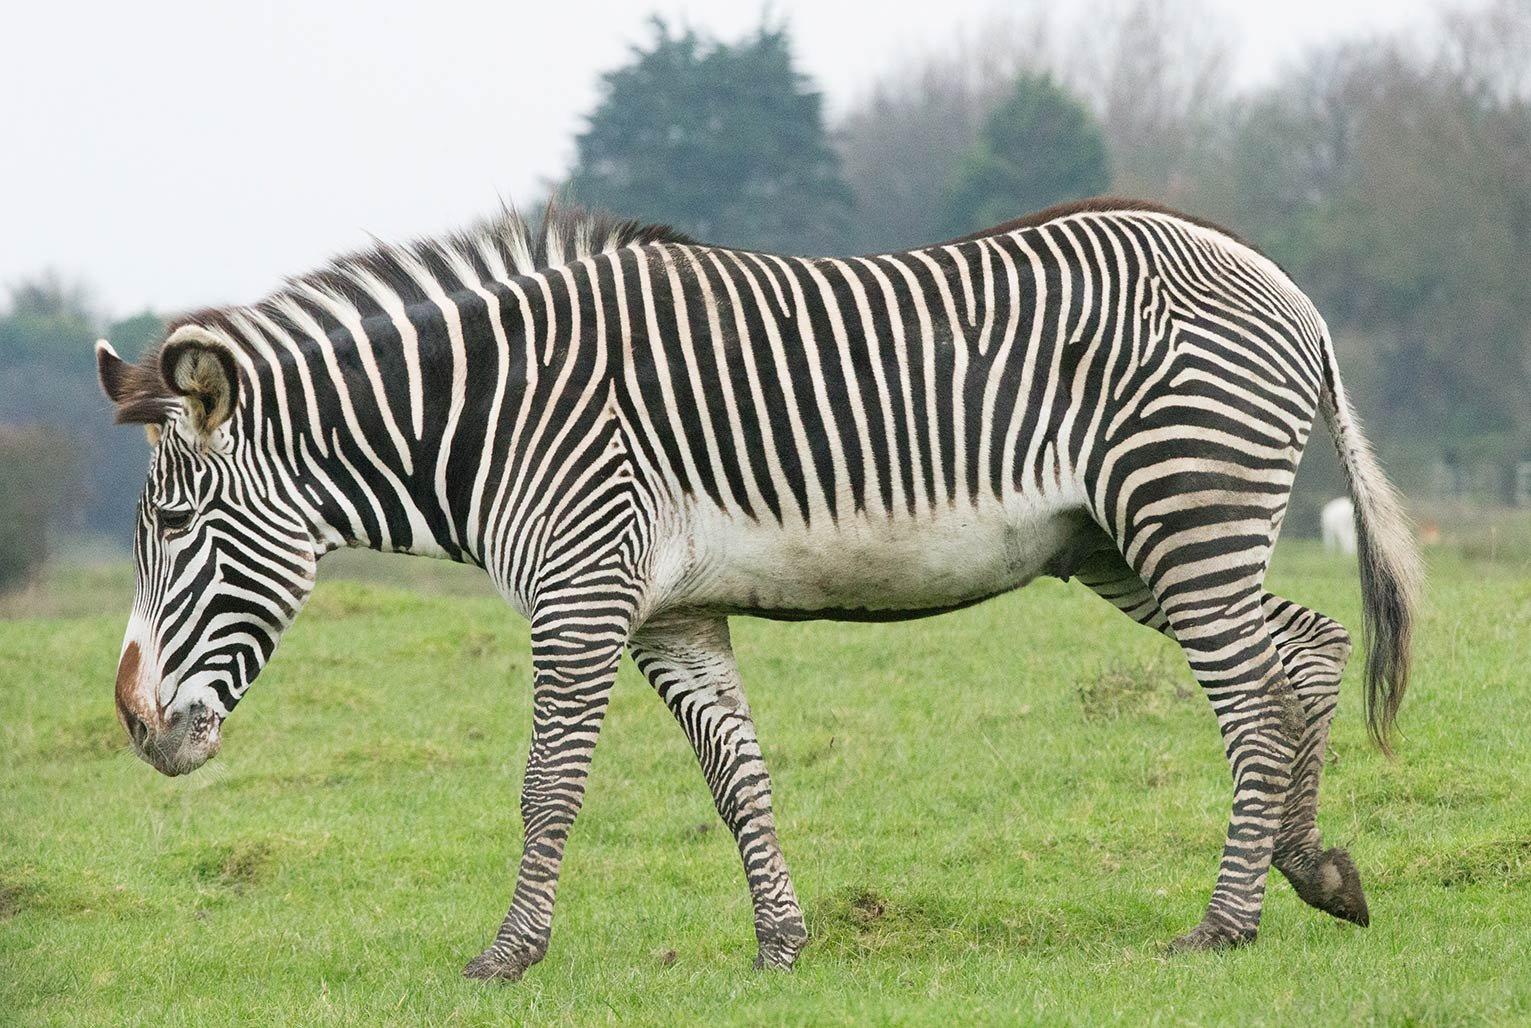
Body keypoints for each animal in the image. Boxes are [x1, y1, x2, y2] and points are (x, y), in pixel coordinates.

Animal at [96, 197, 1420, 979]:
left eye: (174, 524)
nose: (138, 728)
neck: (494, 419)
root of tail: (1280, 282)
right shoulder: (667, 613)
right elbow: (736, 771)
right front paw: (784, 937)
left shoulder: (581, 593)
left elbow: (545, 788)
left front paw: (508, 954)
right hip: (1122, 540)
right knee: (1303, 646)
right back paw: (1317, 871)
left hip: (1181, 510)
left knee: (1250, 704)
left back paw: (1226, 919)